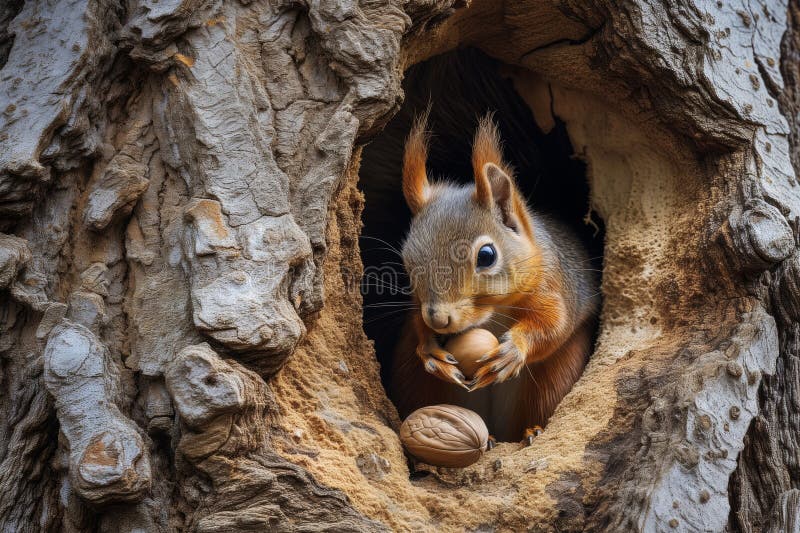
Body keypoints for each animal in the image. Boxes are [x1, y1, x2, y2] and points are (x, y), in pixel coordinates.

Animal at [389, 112, 600, 443]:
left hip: (554, 378)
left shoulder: (555, 285)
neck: (492, 312)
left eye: (486, 256)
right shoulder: (417, 309)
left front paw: (513, 350)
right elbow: (417, 322)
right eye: (407, 261)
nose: (439, 319)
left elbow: (554, 324)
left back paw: (533, 431)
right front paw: (430, 350)